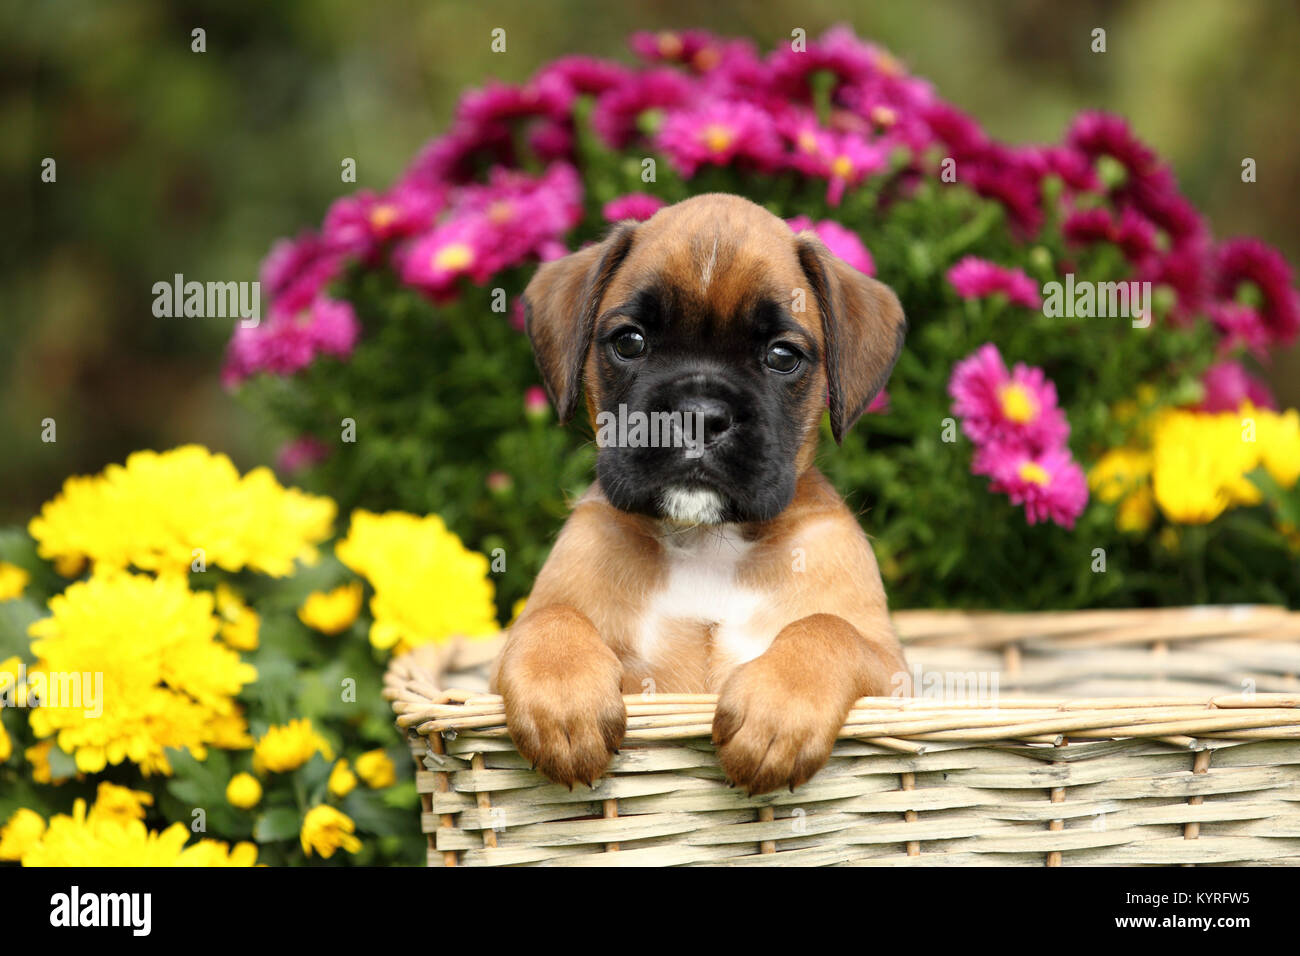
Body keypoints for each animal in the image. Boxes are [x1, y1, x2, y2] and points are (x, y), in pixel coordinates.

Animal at [491, 191, 909, 796]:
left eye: (783, 356)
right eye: (630, 342)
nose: (697, 414)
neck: (706, 541)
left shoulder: (892, 671)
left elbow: (828, 630)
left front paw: (781, 704)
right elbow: (549, 620)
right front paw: (561, 691)